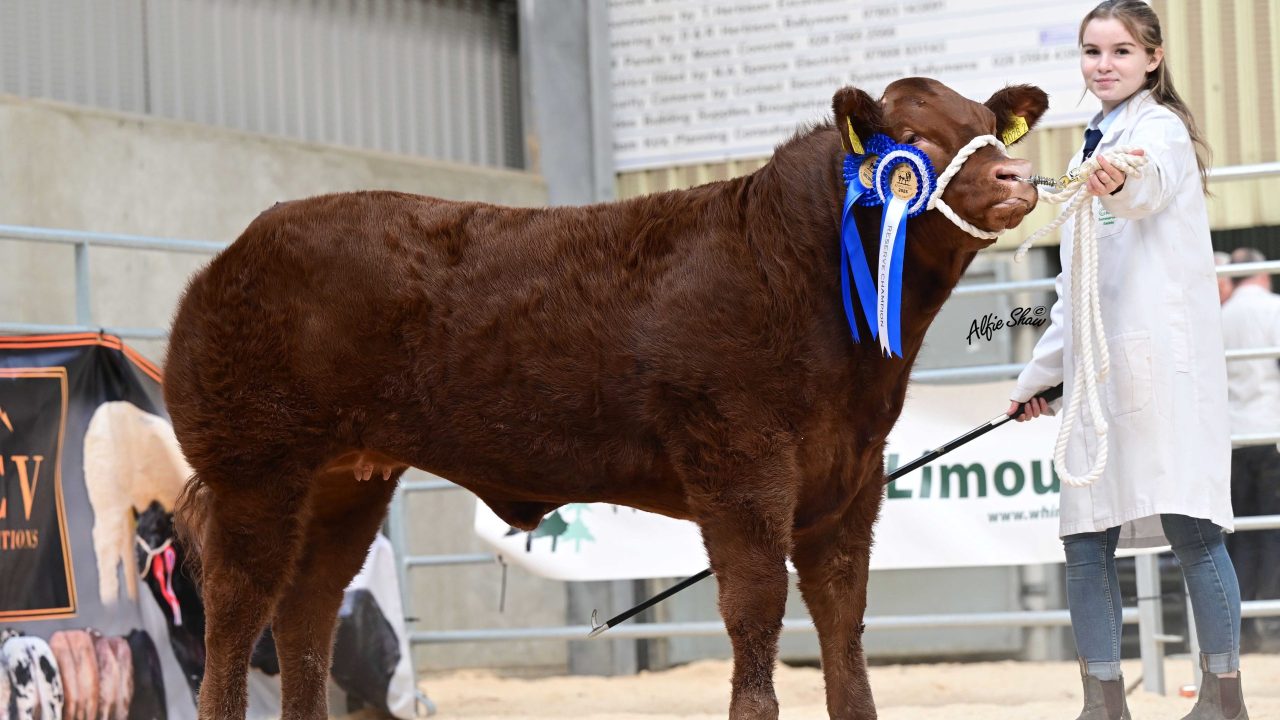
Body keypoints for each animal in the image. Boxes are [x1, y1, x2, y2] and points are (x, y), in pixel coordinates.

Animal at [163, 77, 1048, 720]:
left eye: (987, 125)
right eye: (918, 141)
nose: (1016, 177)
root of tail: (234, 255)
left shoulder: (851, 480)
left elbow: (844, 628)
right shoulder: (739, 464)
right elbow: (755, 611)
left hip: (344, 482)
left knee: (307, 610)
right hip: (256, 469)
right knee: (235, 613)